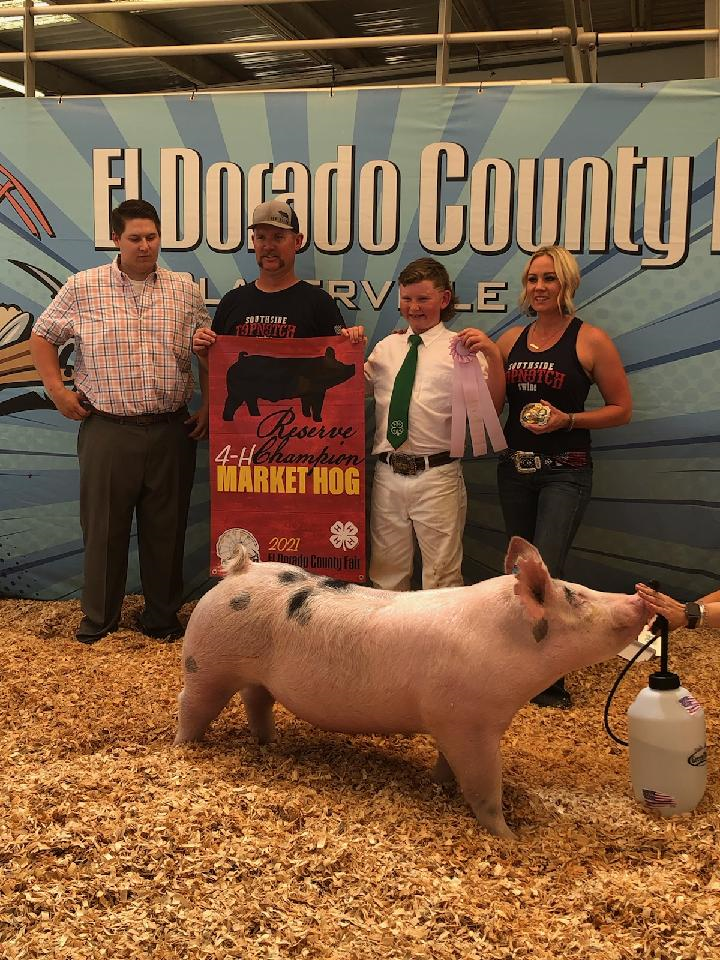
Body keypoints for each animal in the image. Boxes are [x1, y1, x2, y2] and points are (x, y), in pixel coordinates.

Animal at [175, 537, 648, 838]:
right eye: (576, 597)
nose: (640, 598)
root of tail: (240, 571)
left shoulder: (452, 723)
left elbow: (448, 765)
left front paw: (440, 783)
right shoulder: (469, 723)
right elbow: (484, 786)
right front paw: (508, 838)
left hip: (254, 676)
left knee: (257, 701)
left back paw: (270, 744)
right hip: (206, 664)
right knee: (191, 705)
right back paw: (183, 748)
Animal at [223, 347, 355, 422]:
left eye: (340, 362)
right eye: (336, 366)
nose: (353, 366)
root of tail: (239, 360)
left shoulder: (306, 395)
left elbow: (306, 405)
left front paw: (307, 416)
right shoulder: (318, 392)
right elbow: (317, 406)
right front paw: (319, 420)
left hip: (249, 395)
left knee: (251, 404)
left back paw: (256, 416)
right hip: (236, 392)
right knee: (230, 404)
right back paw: (228, 420)